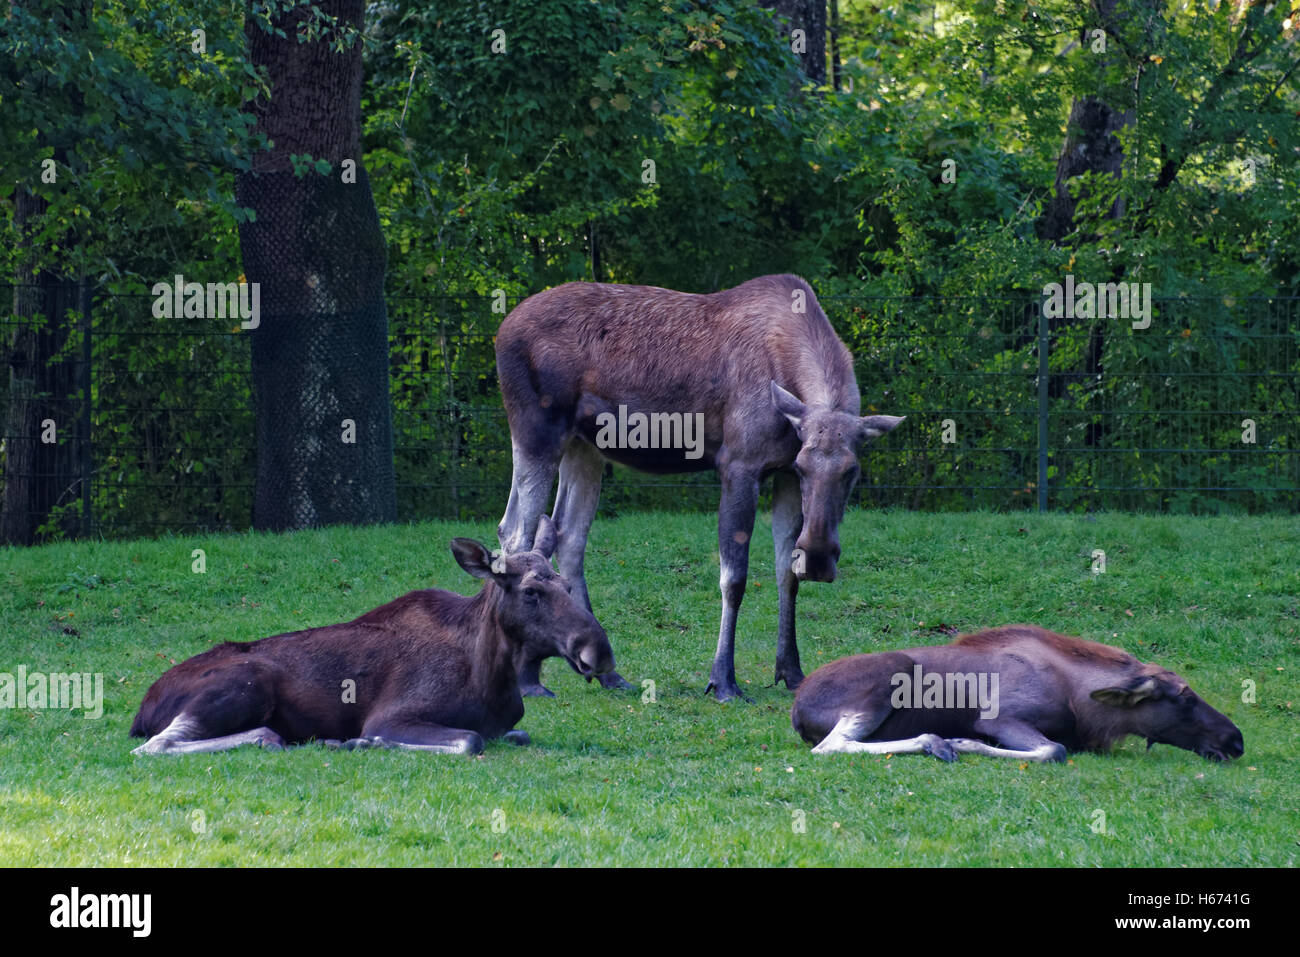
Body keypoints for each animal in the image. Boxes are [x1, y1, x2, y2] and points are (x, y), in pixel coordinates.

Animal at [130, 517, 615, 756]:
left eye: (566, 585)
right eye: (531, 591)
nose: (599, 652)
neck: (490, 672)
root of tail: (142, 707)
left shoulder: (507, 726)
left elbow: (516, 734)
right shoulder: (393, 715)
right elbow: (470, 740)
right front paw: (368, 741)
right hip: (247, 683)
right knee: (159, 745)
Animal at [494, 274, 904, 700]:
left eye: (852, 471)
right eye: (806, 466)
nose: (820, 558)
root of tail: (502, 329)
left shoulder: (781, 473)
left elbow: (786, 572)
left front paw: (790, 671)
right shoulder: (740, 465)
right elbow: (733, 577)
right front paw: (723, 679)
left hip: (584, 446)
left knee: (566, 535)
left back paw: (608, 674)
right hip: (536, 432)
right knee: (516, 534)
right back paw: (527, 681)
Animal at [791, 624, 1244, 763]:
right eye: (1184, 697)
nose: (1235, 740)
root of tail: (796, 710)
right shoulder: (1001, 718)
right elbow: (1052, 750)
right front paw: (962, 742)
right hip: (890, 675)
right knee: (831, 745)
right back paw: (935, 742)